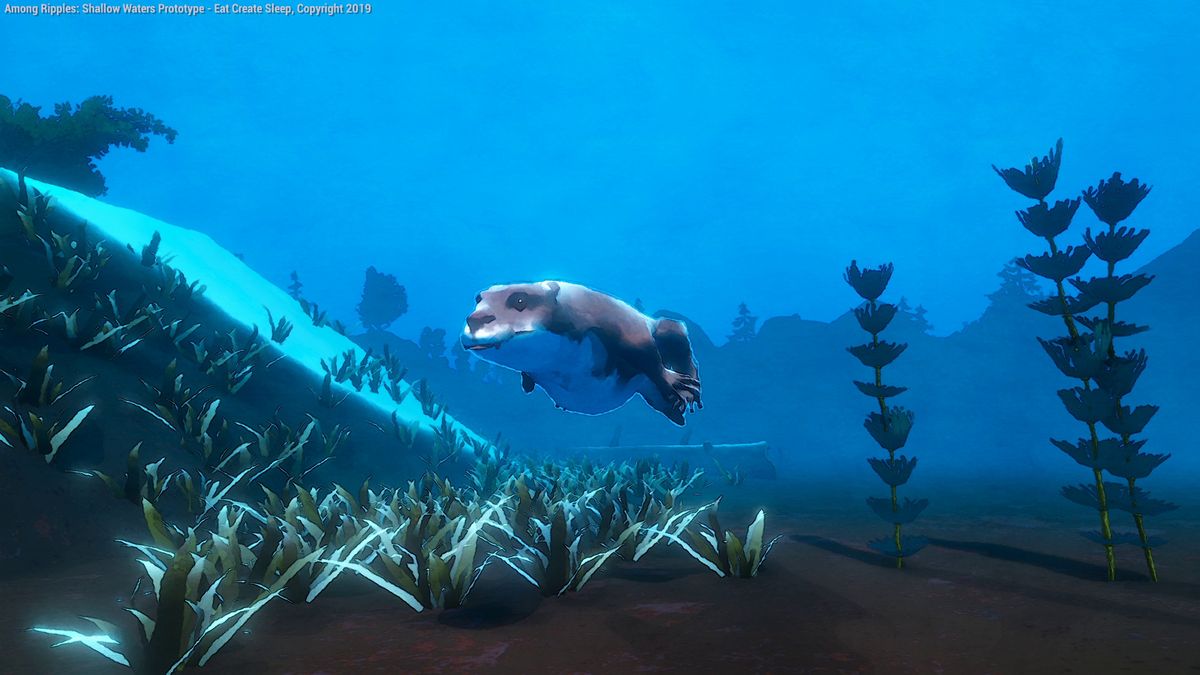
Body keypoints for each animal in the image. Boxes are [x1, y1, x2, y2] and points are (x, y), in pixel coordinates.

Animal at [460, 281, 702, 425]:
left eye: (520, 300)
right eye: (478, 299)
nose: (474, 320)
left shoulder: (630, 331)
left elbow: (651, 358)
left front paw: (681, 385)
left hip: (659, 329)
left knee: (674, 330)